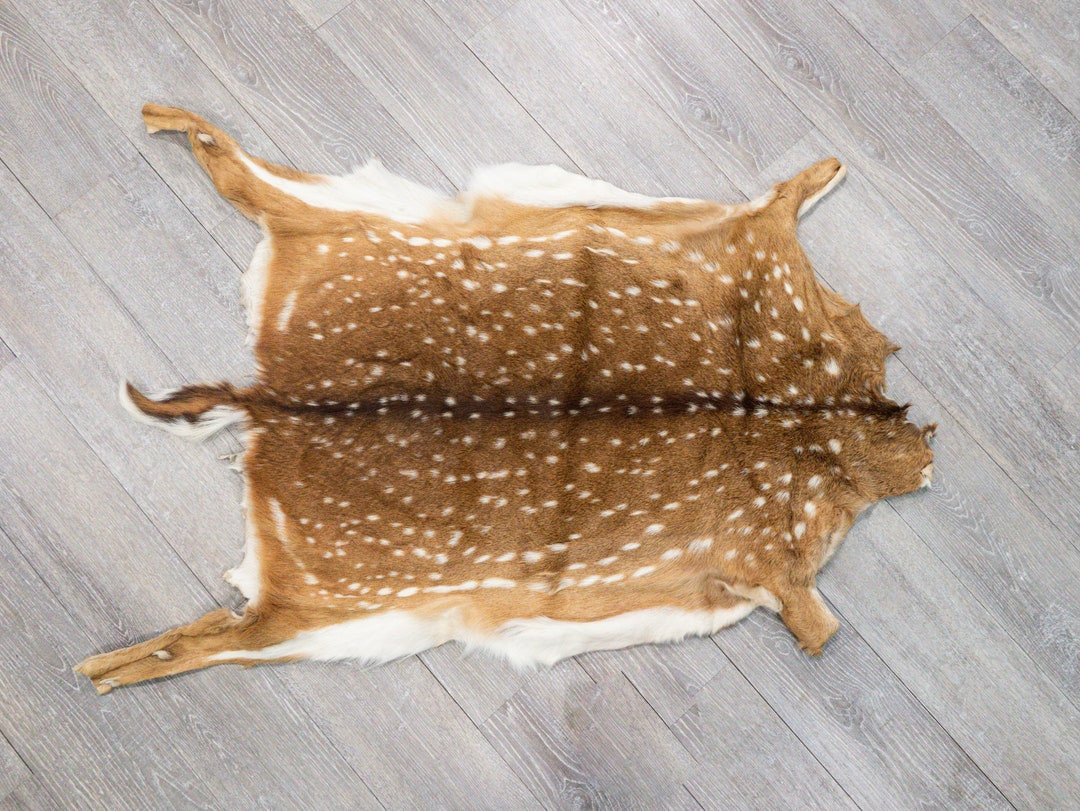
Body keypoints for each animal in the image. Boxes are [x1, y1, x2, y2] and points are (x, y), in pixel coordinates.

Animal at [75, 105, 934, 693]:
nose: (926, 448)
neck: (805, 409)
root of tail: (270, 397)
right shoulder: (760, 239)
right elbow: (819, 625)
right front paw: (828, 167)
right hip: (352, 610)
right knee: (222, 639)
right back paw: (105, 669)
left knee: (258, 186)